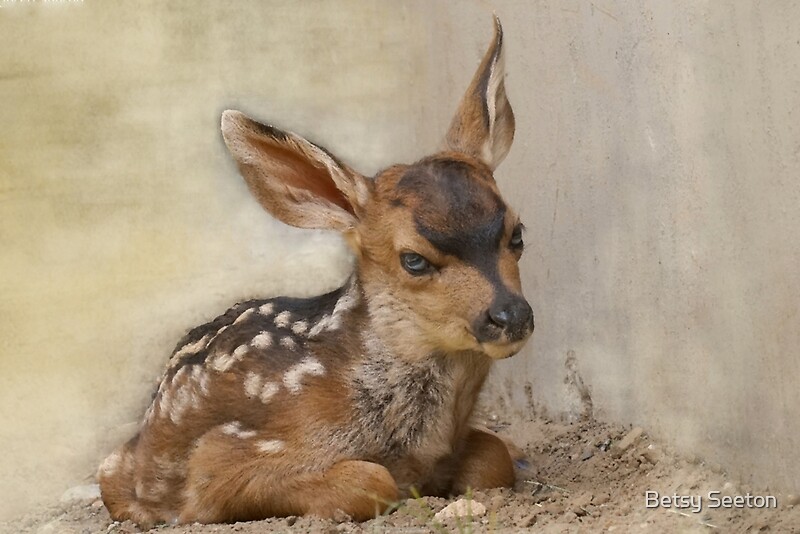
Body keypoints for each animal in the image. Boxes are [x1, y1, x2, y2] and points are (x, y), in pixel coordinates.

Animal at [98, 17, 534, 527]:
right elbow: (370, 481)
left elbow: (493, 458)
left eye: (517, 233)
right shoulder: (222, 459)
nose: (510, 315)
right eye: (414, 259)